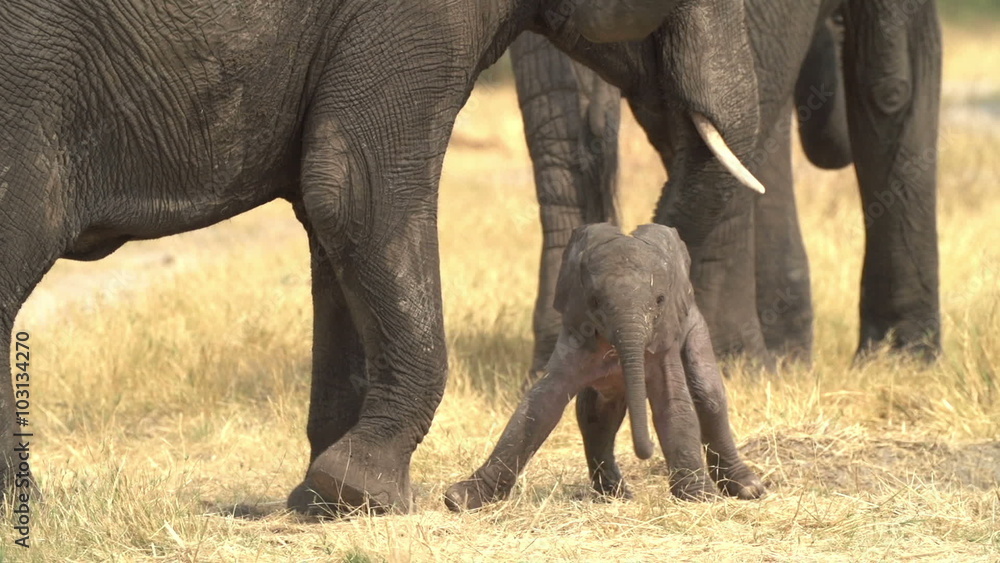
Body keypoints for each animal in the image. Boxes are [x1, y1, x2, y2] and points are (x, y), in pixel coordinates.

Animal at [444, 224, 765, 511]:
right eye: (595, 301)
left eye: (660, 300)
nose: (645, 452)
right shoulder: (576, 333)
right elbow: (540, 405)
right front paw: (461, 499)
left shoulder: (665, 336)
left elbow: (673, 402)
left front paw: (700, 498)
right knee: (596, 414)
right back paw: (615, 495)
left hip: (695, 324)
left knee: (708, 393)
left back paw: (749, 488)